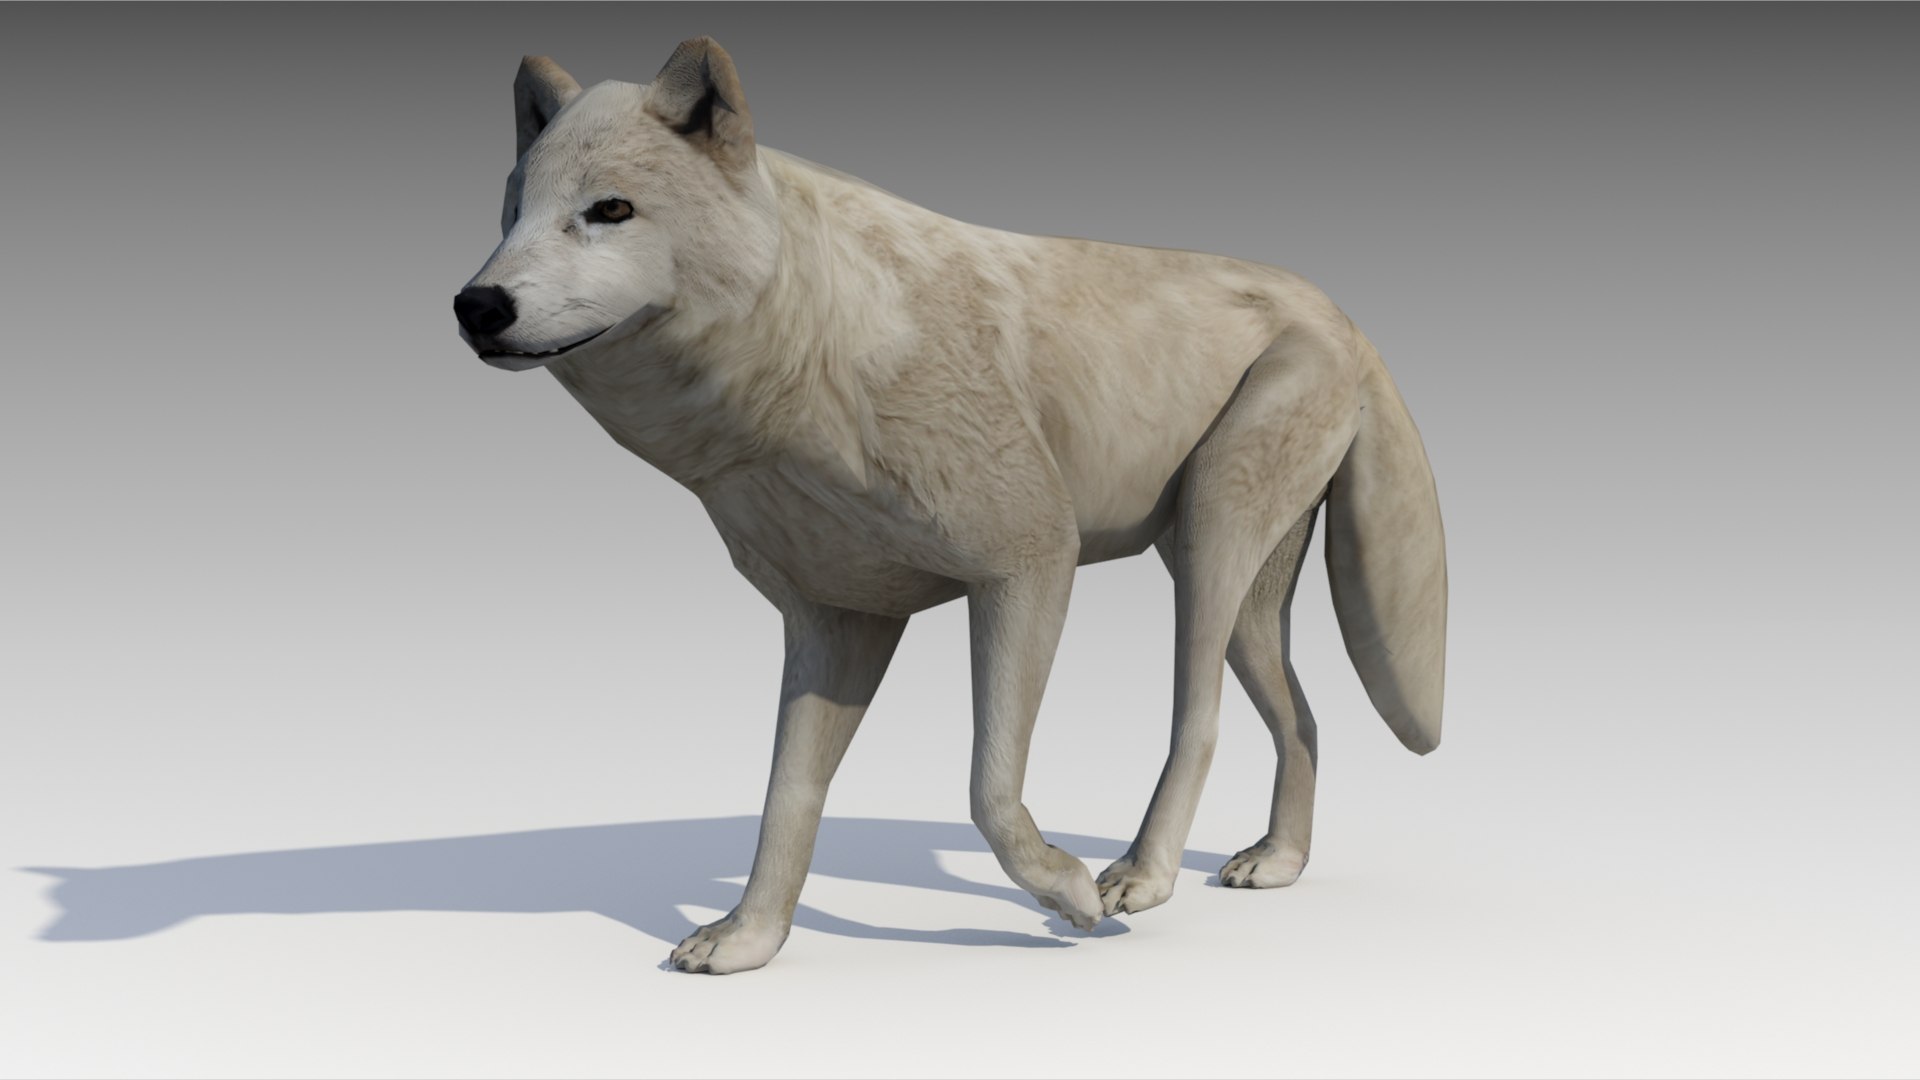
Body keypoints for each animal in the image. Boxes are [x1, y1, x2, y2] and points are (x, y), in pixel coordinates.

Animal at [454, 38, 1447, 974]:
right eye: (512, 214)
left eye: (610, 211)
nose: (476, 304)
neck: (811, 349)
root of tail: (1339, 309)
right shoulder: (838, 622)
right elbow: (787, 799)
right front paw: (748, 940)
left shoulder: (1032, 560)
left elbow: (986, 784)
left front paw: (1066, 891)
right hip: (1238, 585)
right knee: (1302, 715)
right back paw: (1278, 861)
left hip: (1209, 540)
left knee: (1197, 719)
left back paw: (1141, 875)